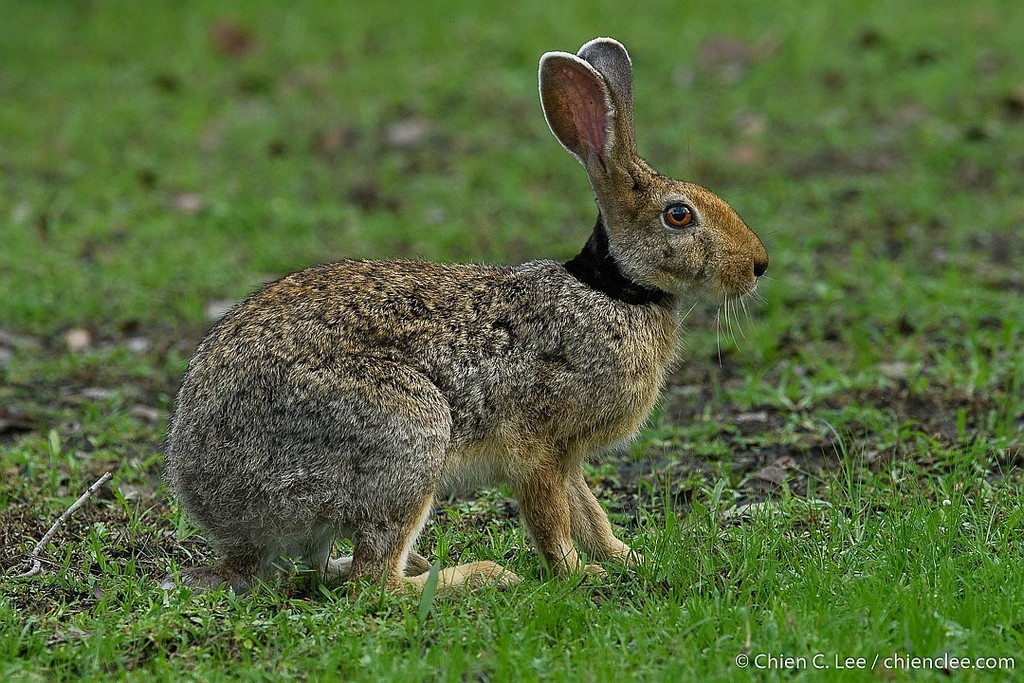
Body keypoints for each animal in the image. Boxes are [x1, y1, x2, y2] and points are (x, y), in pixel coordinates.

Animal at [164, 37, 769, 594]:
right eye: (679, 216)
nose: (758, 265)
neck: (613, 291)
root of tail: (216, 506)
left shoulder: (568, 456)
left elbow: (589, 511)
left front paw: (626, 558)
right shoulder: (538, 449)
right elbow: (553, 521)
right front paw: (579, 575)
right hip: (408, 436)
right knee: (374, 583)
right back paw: (482, 575)